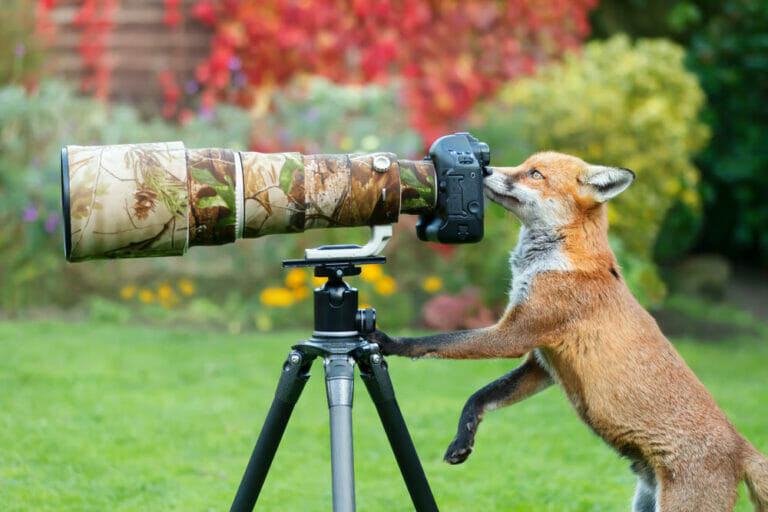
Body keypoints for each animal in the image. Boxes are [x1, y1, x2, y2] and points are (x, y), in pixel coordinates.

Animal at [368, 152, 768, 512]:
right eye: (524, 165)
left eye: (535, 174)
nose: (485, 168)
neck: (553, 262)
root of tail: (742, 446)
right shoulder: (542, 363)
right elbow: (479, 397)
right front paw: (462, 440)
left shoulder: (513, 334)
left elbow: (436, 342)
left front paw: (388, 341)